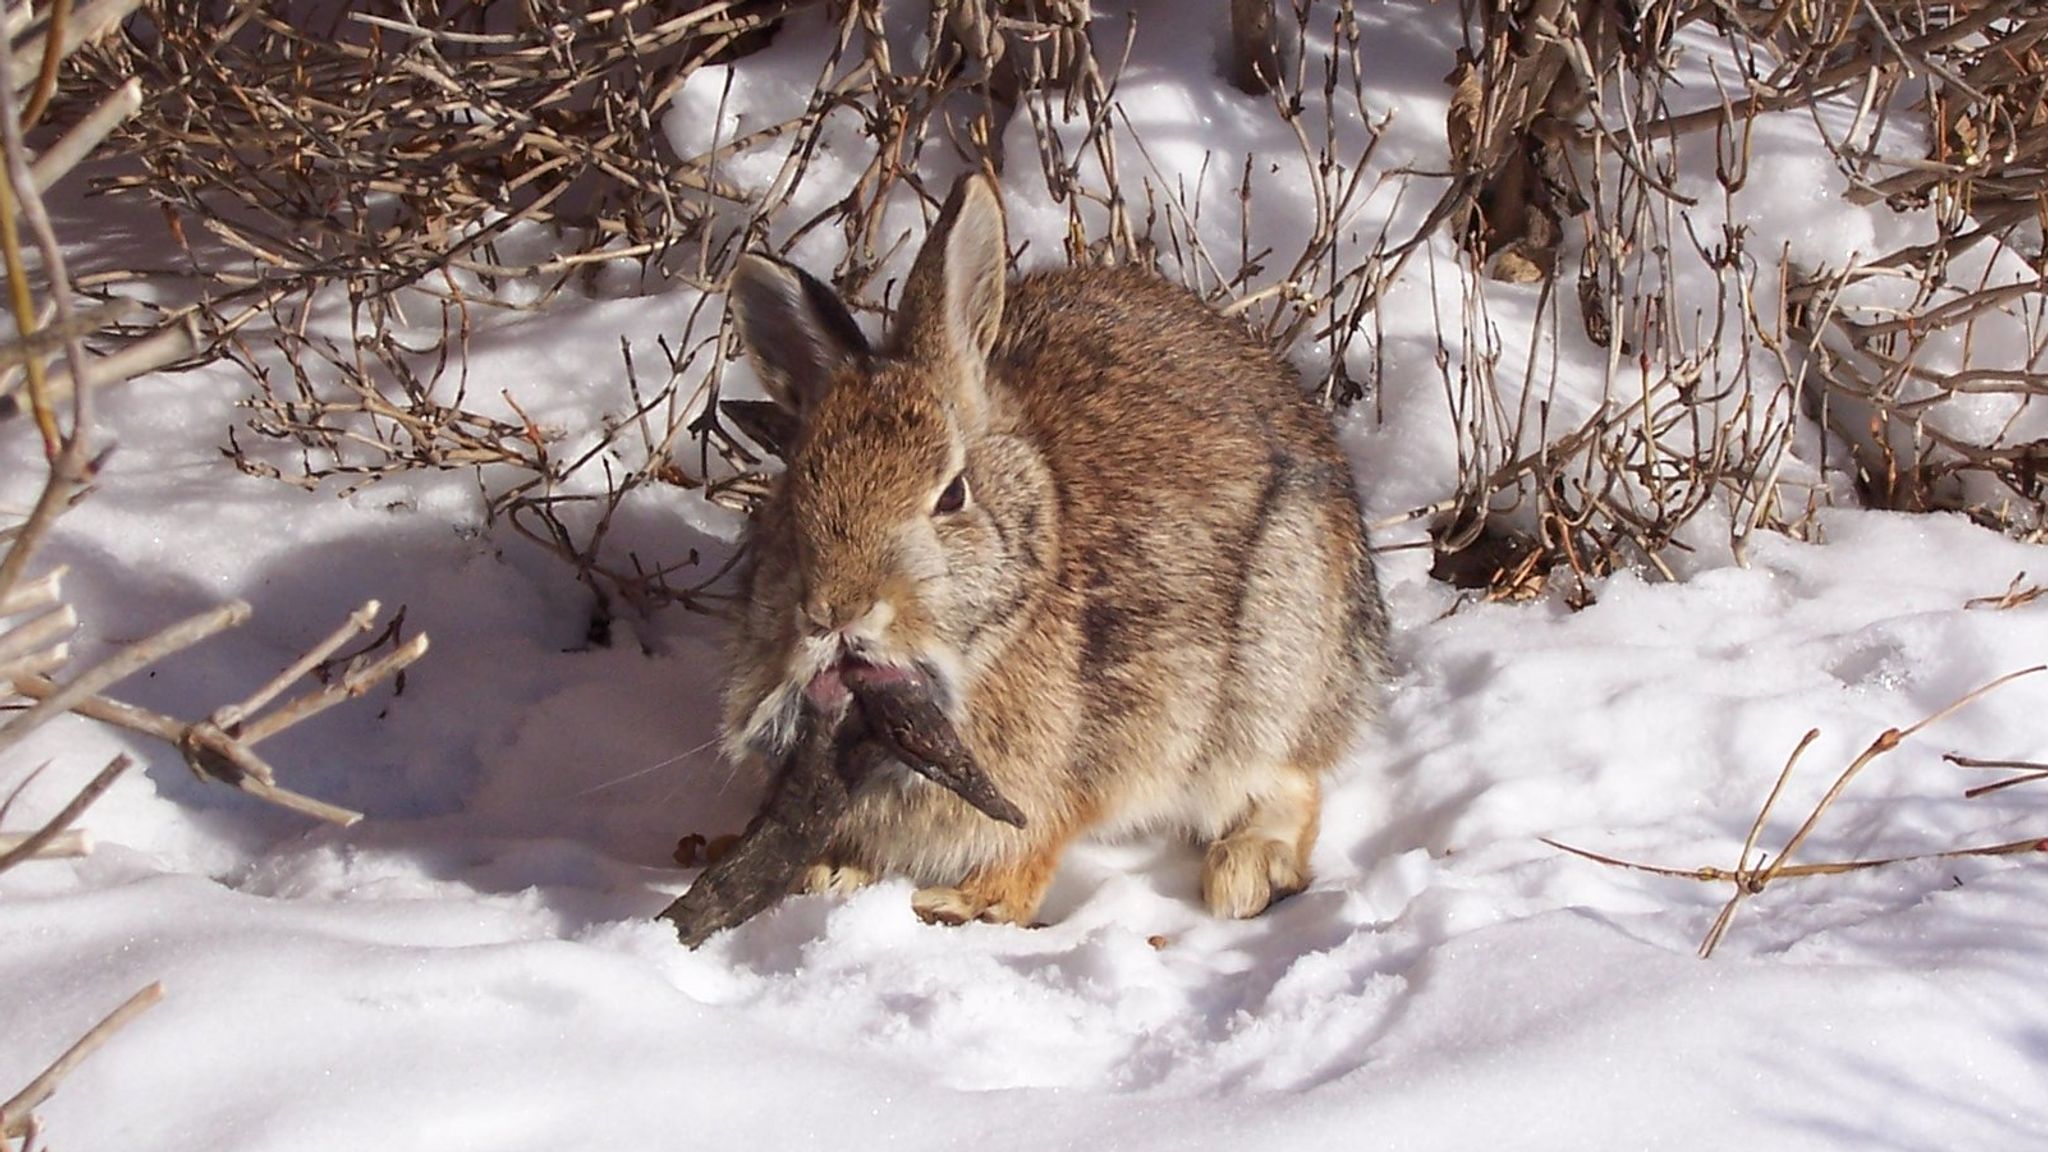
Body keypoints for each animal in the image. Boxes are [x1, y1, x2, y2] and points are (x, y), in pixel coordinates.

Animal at [718, 171, 1389, 926]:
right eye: (792, 494)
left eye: (952, 496)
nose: (837, 611)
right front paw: (832, 873)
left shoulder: (1072, 773)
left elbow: (1033, 845)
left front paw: (964, 905)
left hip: (1274, 664)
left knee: (1289, 780)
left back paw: (1247, 871)